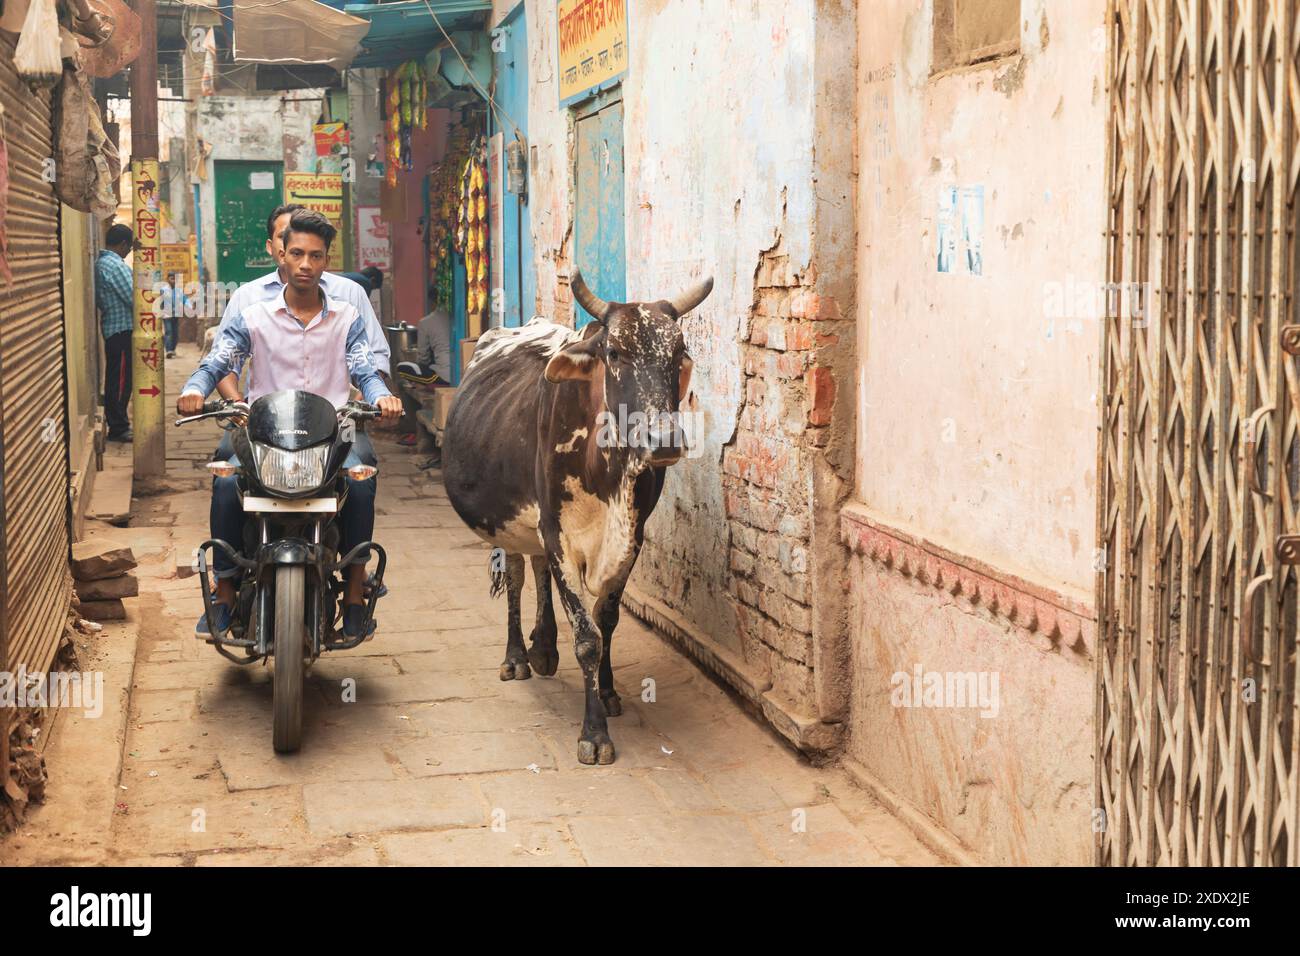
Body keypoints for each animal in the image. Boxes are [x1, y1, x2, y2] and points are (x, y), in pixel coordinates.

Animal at [443, 270, 713, 764]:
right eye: (615, 352)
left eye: (678, 351)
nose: (664, 440)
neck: (606, 475)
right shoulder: (556, 531)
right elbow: (586, 637)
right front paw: (594, 733)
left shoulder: (632, 537)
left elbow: (606, 621)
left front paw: (606, 693)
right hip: (512, 524)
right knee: (517, 574)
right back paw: (518, 657)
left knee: (537, 569)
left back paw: (545, 647)